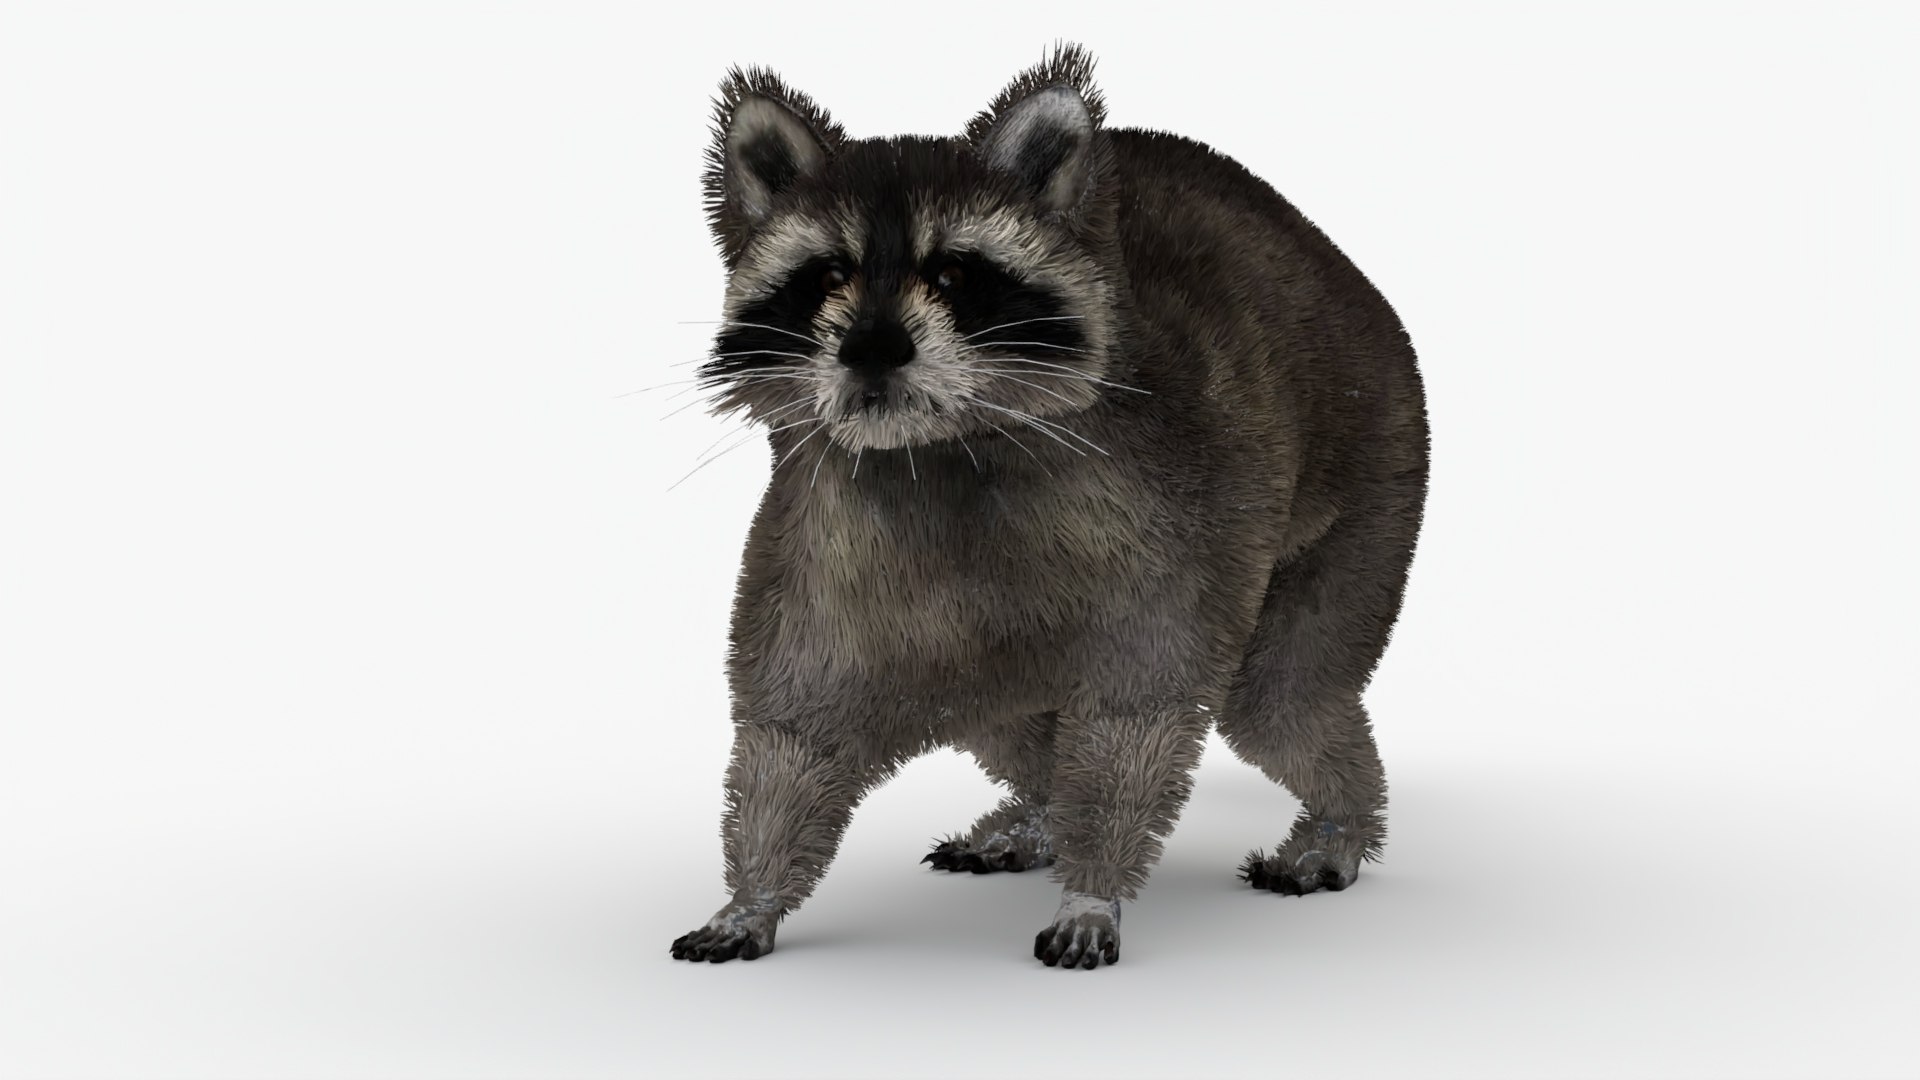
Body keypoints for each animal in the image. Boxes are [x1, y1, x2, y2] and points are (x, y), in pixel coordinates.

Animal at [668, 44, 1429, 969]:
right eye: (830, 274)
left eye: (954, 273)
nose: (873, 347)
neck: (934, 453)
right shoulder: (821, 542)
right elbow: (792, 732)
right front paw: (752, 896)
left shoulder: (1168, 526)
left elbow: (1136, 718)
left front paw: (1092, 885)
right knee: (1002, 723)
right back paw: (1033, 812)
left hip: (1372, 473)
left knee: (1285, 702)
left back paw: (1339, 820)